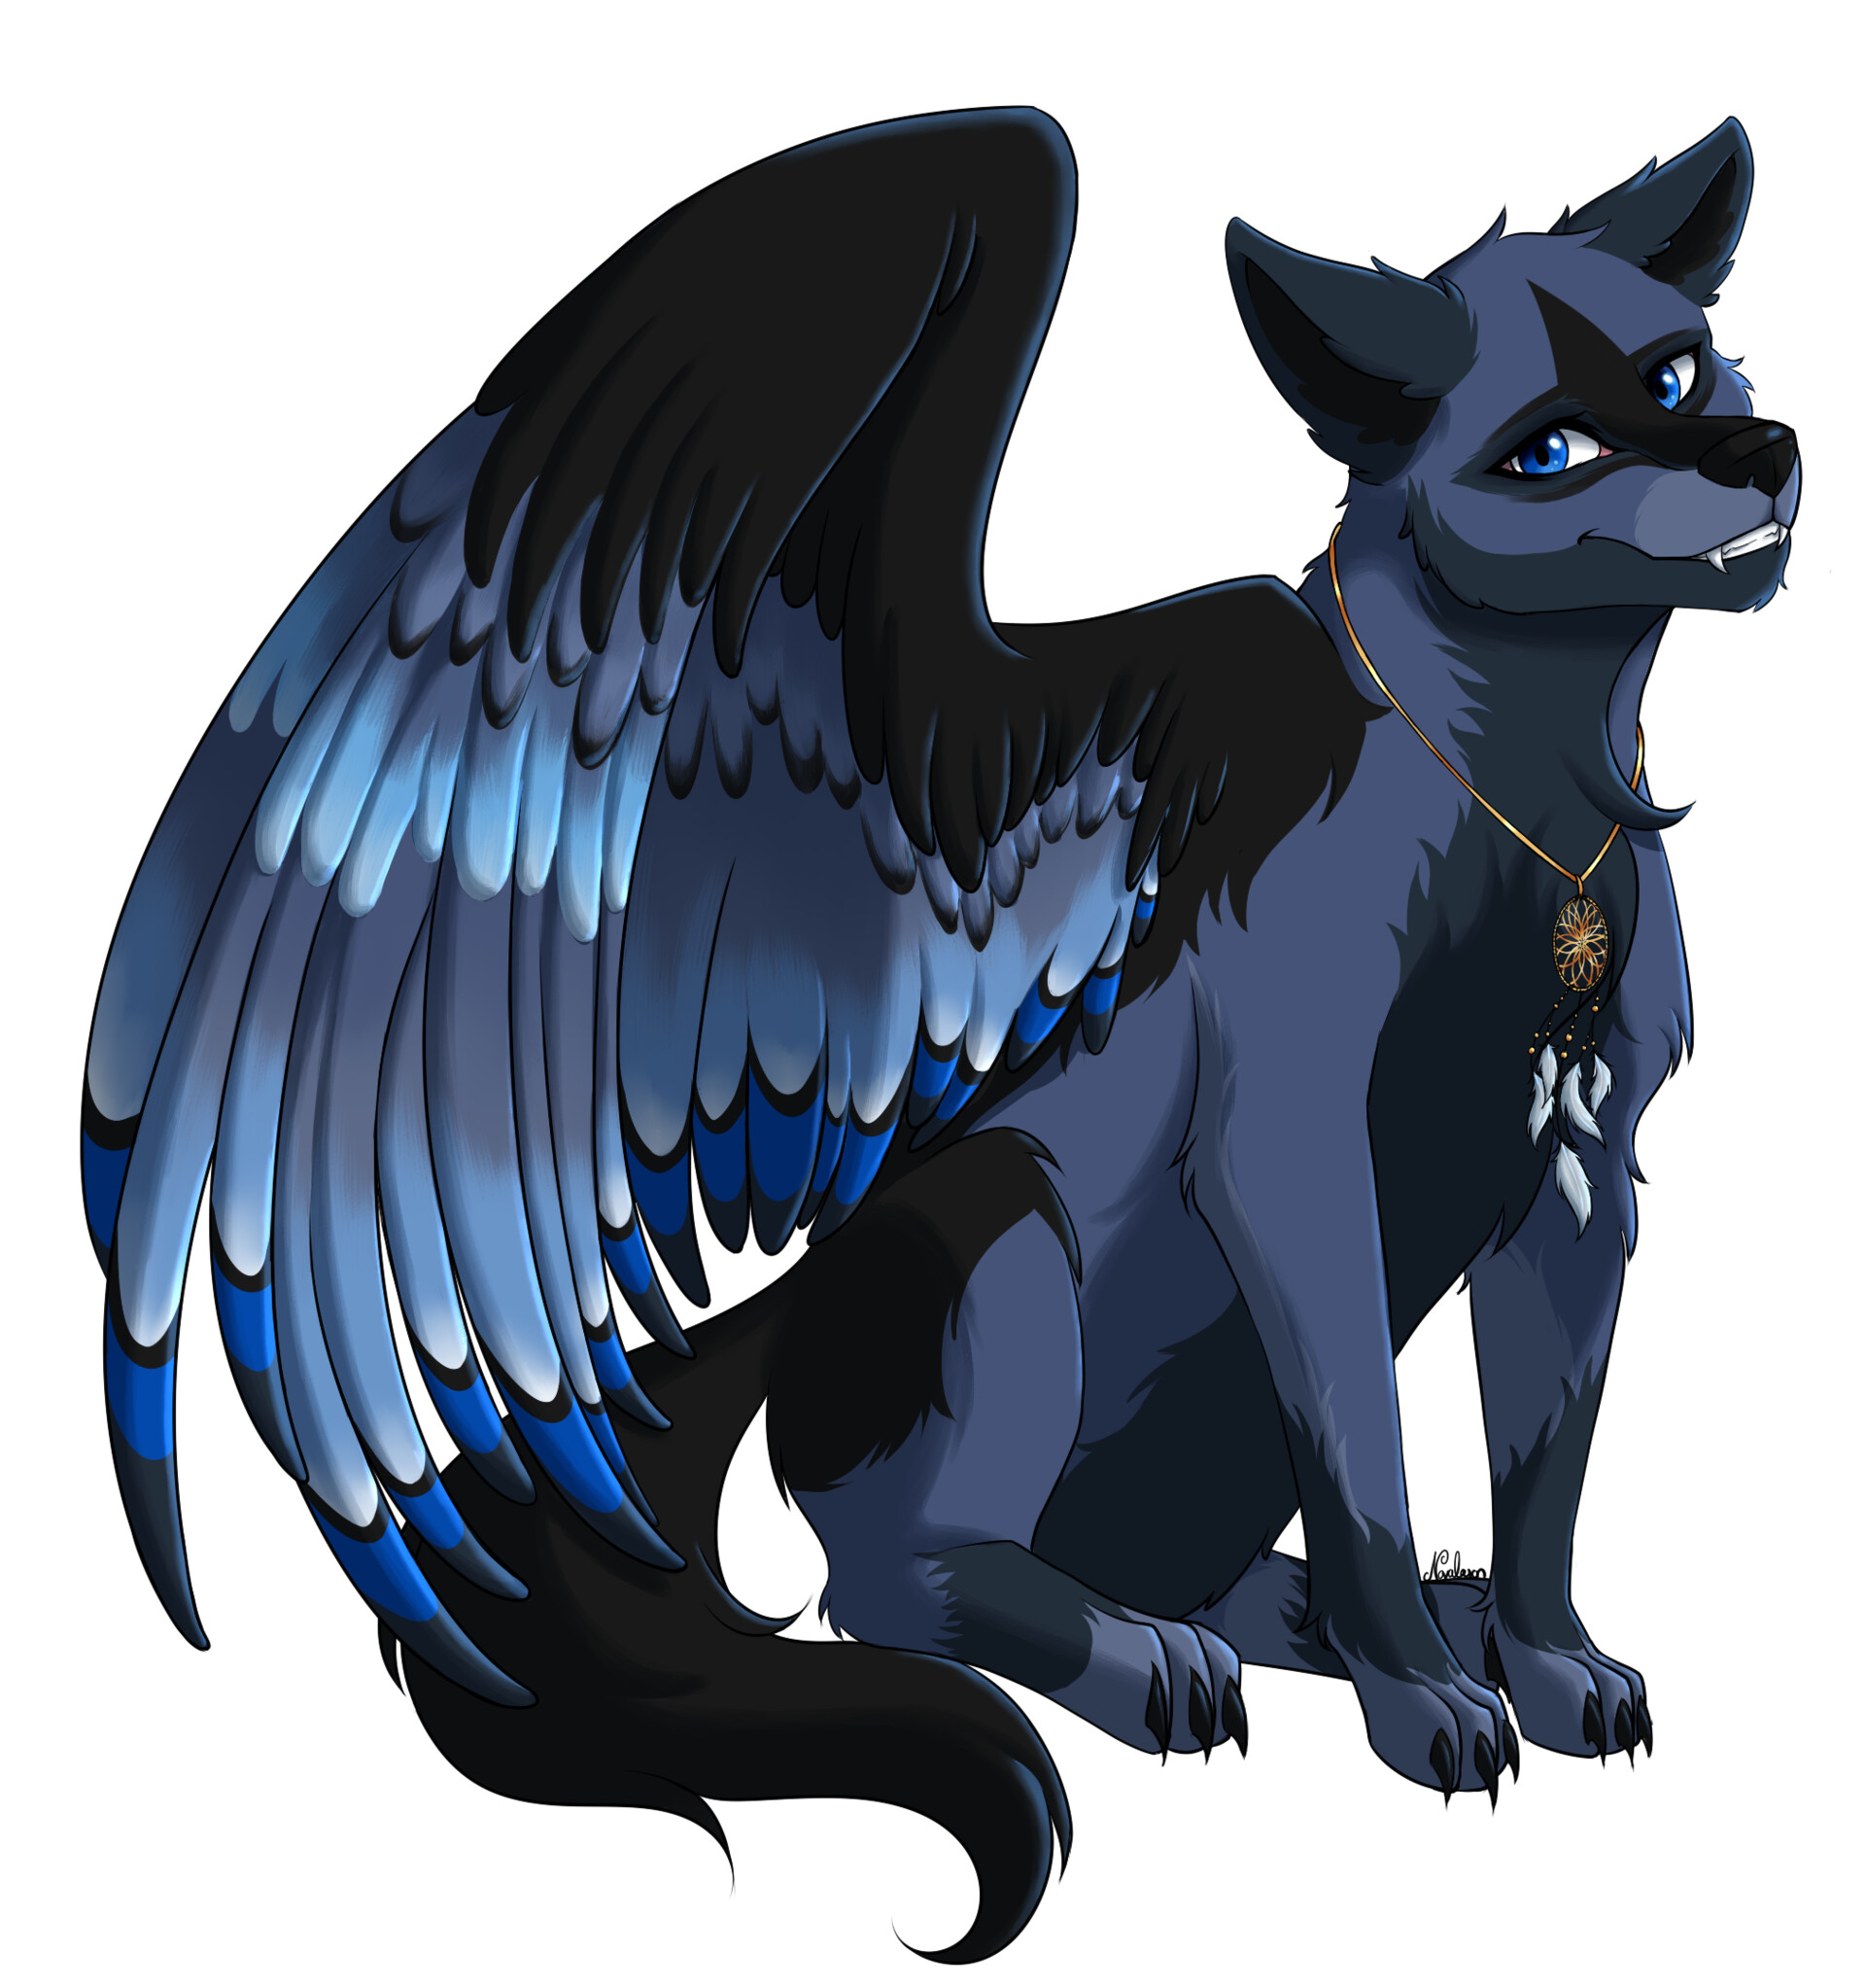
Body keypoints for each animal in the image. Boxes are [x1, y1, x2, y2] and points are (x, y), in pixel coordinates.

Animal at [83, 109, 1796, 1960]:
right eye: (1547, 450)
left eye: (1682, 371)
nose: (1767, 454)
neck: (1519, 807)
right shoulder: (1293, 1158)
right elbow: (1371, 1450)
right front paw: (1427, 1705)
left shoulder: (1583, 1169)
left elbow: (1546, 1458)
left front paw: (1541, 1659)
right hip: (997, 1235)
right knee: (896, 1577)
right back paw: (1155, 1661)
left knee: (1144, 1558)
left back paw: (1298, 1619)